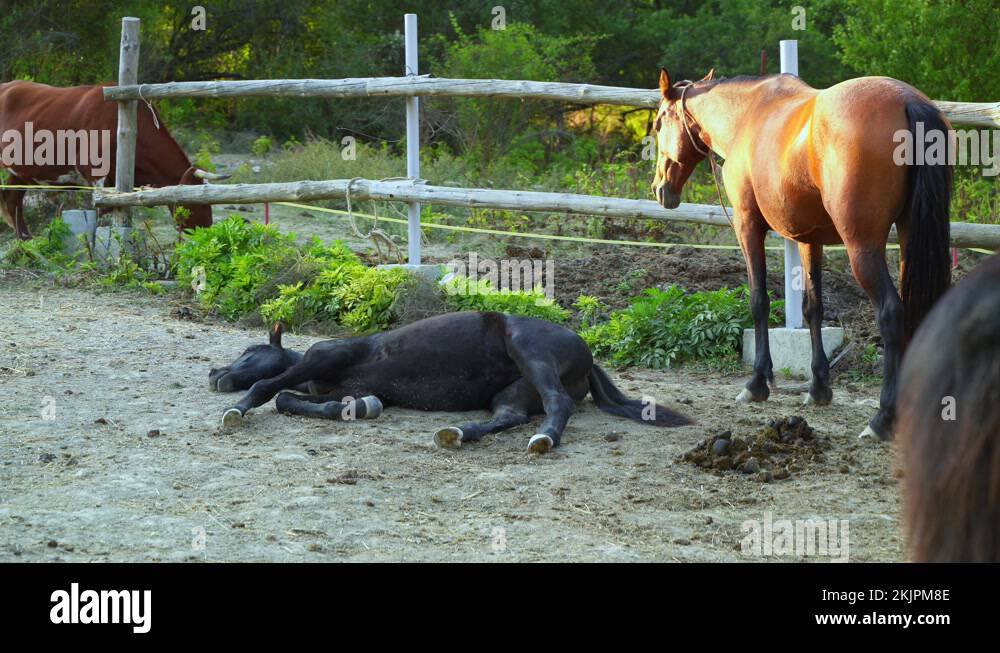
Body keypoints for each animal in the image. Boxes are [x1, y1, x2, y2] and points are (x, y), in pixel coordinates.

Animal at [0, 81, 226, 239]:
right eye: (195, 202)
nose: (207, 229)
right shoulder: (95, 173)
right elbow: (103, 211)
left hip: (19, 171)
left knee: (12, 200)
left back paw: (26, 242)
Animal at [210, 312, 693, 453]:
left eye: (250, 350)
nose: (216, 374)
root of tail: (587, 355)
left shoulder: (322, 356)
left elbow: (270, 390)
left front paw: (236, 410)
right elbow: (292, 401)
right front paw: (362, 409)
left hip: (530, 353)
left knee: (559, 404)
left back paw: (544, 440)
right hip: (513, 391)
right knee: (508, 416)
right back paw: (456, 433)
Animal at [650, 68, 952, 440]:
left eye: (659, 124)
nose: (660, 188)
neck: (746, 115)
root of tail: (906, 100)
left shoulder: (747, 227)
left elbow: (759, 302)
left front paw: (756, 384)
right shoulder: (810, 240)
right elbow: (813, 308)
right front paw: (818, 387)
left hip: (862, 248)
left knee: (892, 312)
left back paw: (882, 418)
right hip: (909, 237)